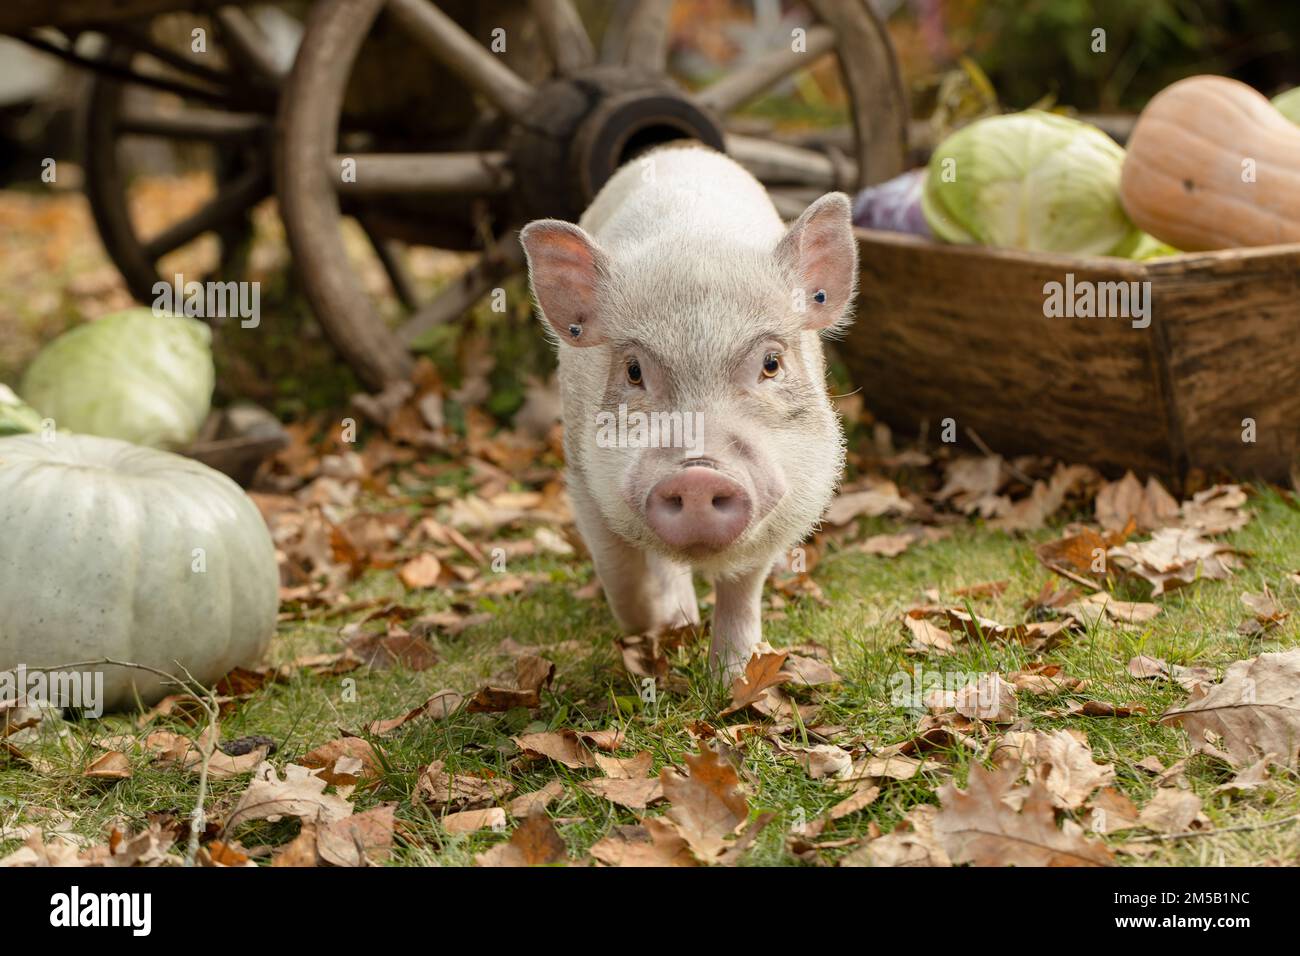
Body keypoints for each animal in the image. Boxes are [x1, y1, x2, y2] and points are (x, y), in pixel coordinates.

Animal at [519, 144, 857, 678]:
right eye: (634, 370)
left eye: (771, 363)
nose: (698, 473)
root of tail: (677, 148)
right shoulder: (582, 480)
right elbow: (622, 575)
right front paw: (659, 632)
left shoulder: (786, 502)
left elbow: (743, 590)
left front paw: (732, 676)